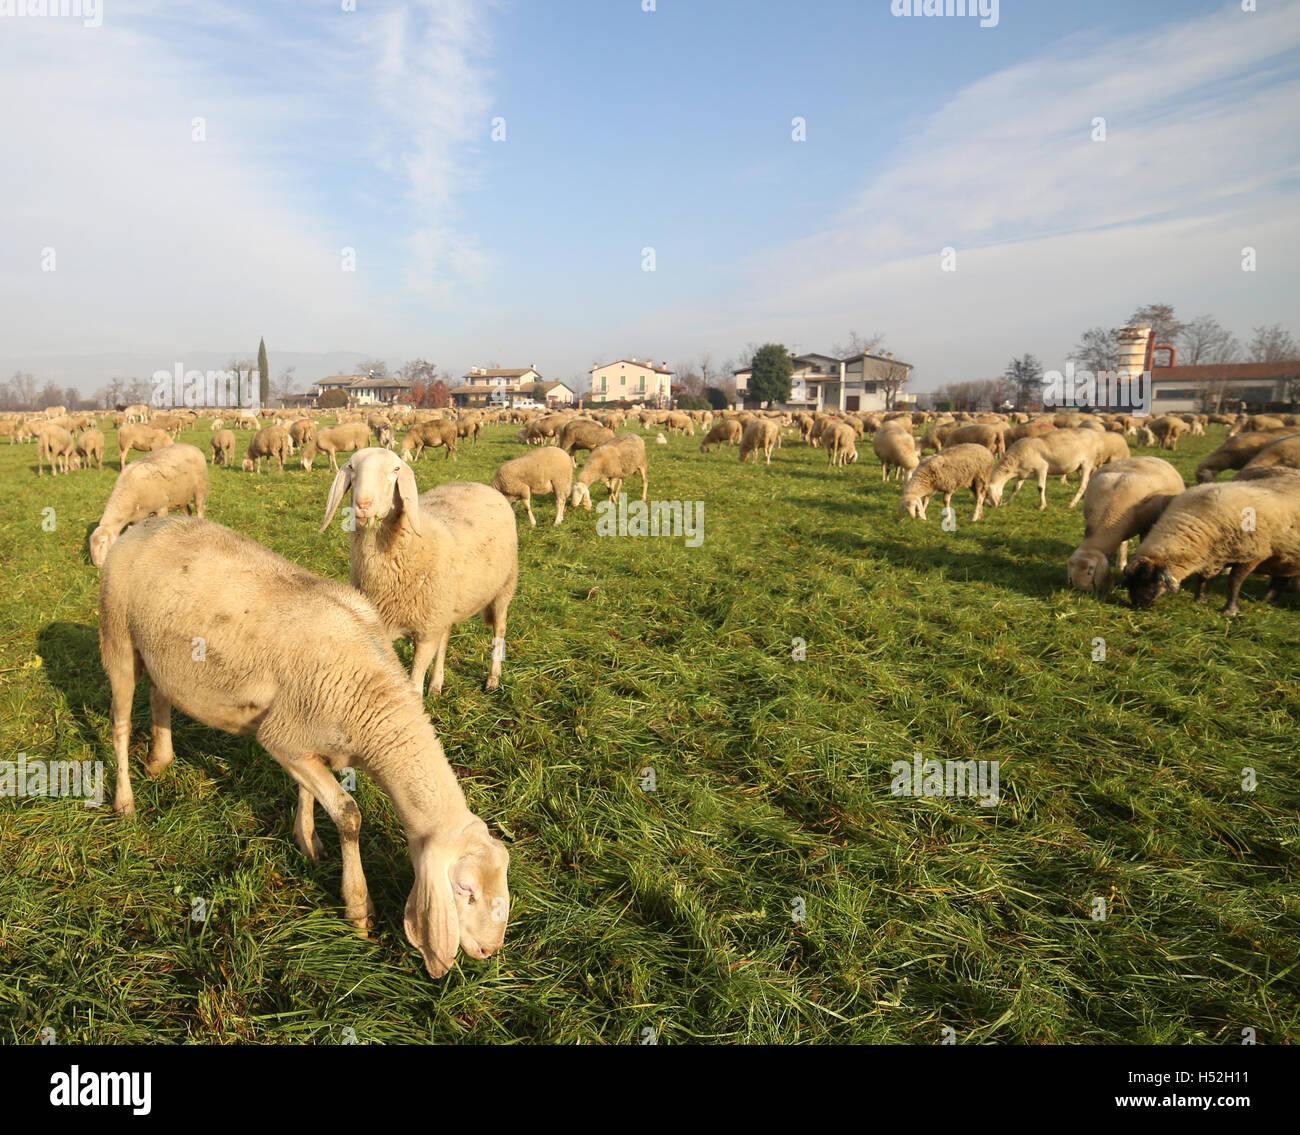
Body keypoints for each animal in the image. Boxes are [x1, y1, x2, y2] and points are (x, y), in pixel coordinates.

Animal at [98, 515, 509, 978]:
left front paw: (306, 839)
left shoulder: (304, 740)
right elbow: (348, 815)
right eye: (465, 890)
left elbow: (308, 794)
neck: (375, 707)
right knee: (119, 724)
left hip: (162, 654)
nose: (488, 952)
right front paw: (358, 909)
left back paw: (160, 759)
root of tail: (149, 524)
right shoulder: (281, 738)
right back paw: (125, 801)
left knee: (160, 695)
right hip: (116, 635)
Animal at [320, 448, 518, 695]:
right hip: (444, 608)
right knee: (445, 638)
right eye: (351, 467)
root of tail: (479, 484)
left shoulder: (426, 634)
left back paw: (493, 679)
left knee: (499, 630)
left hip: (504, 588)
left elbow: (414, 685)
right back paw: (436, 684)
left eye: (395, 469)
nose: (363, 504)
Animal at [1066, 457, 1185, 593]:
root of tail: (1151, 458)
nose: (1086, 593)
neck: (1107, 516)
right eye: (1072, 578)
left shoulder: (1148, 526)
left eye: (1090, 573)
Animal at [1124, 475, 1300, 615]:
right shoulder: (1210, 554)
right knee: (1281, 579)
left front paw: (1230, 610)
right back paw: (1268, 600)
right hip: (1285, 558)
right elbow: (1202, 577)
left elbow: (1234, 581)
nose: (1138, 604)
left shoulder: (1254, 553)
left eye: (1149, 580)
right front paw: (1200, 599)